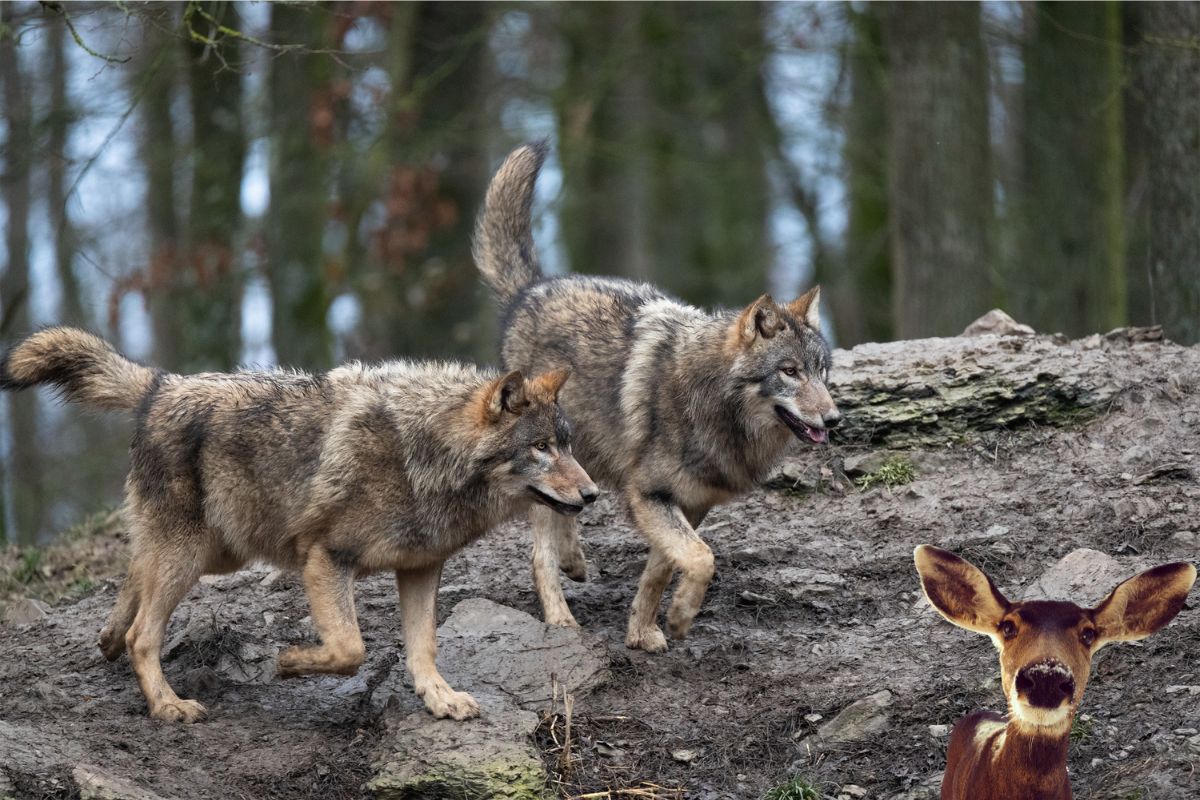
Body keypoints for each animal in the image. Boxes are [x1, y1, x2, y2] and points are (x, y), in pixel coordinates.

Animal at [0, 327, 597, 722]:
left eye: (567, 445)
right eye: (541, 449)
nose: (592, 494)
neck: (423, 454)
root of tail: (162, 384)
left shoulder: (421, 568)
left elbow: (423, 646)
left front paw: (439, 698)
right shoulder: (326, 559)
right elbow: (350, 650)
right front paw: (288, 665)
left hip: (217, 551)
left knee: (132, 583)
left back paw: (108, 643)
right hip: (194, 557)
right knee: (143, 634)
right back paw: (168, 706)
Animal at [473, 143, 840, 651]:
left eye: (823, 373)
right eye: (789, 372)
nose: (834, 419)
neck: (711, 405)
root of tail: (532, 289)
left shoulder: (691, 504)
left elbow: (663, 570)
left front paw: (643, 630)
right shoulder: (648, 496)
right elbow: (702, 559)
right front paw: (681, 618)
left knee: (567, 512)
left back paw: (575, 562)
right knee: (539, 554)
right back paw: (562, 619)